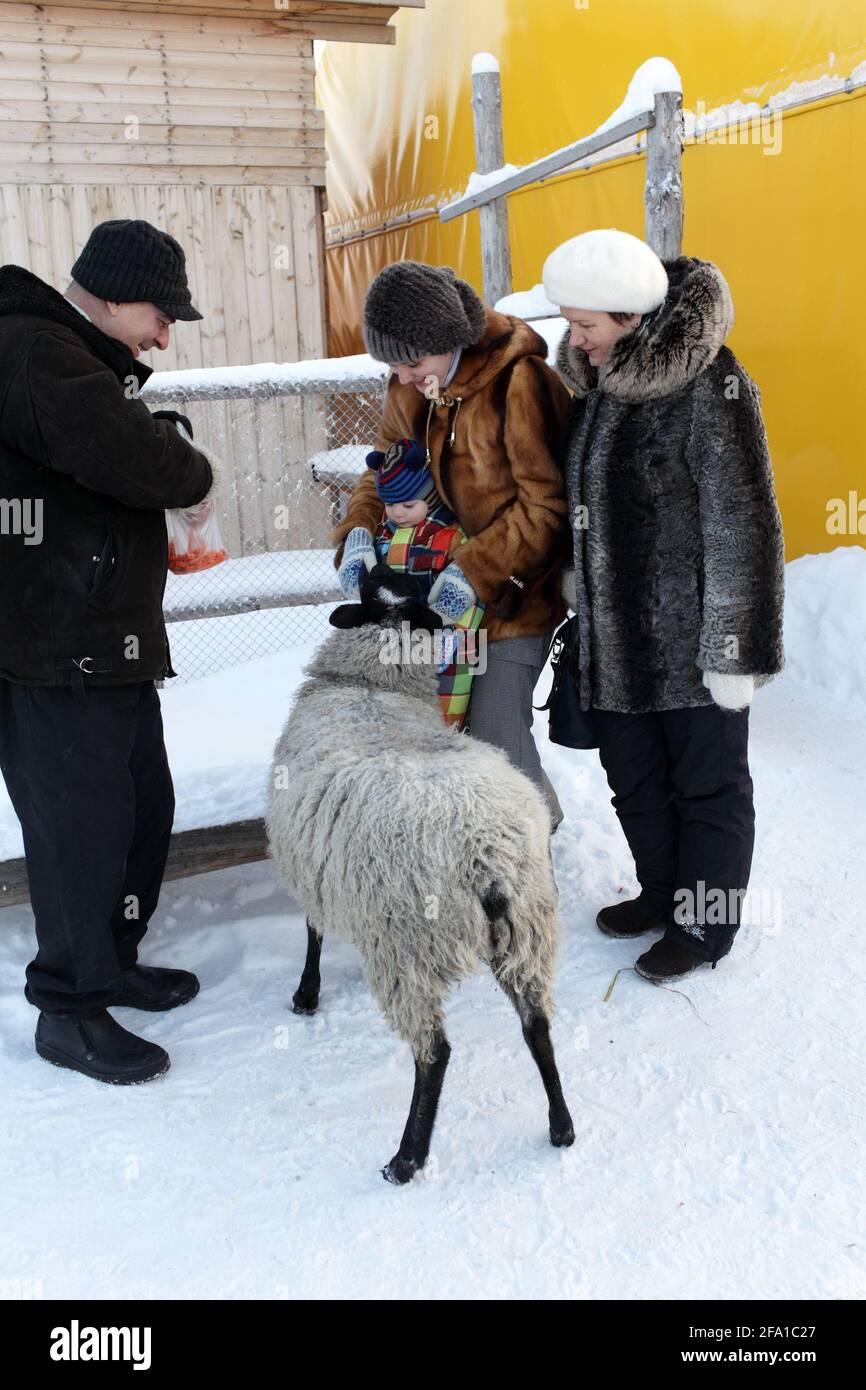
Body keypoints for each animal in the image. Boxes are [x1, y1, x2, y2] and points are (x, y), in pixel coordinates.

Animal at [266, 562, 574, 1184]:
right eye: (392, 579)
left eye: (375, 586)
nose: (376, 564)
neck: (373, 687)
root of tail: (487, 855)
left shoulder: (310, 864)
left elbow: (311, 929)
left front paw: (306, 995)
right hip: (527, 928)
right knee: (537, 1027)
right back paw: (561, 1126)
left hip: (406, 946)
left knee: (435, 1052)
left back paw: (406, 1158)